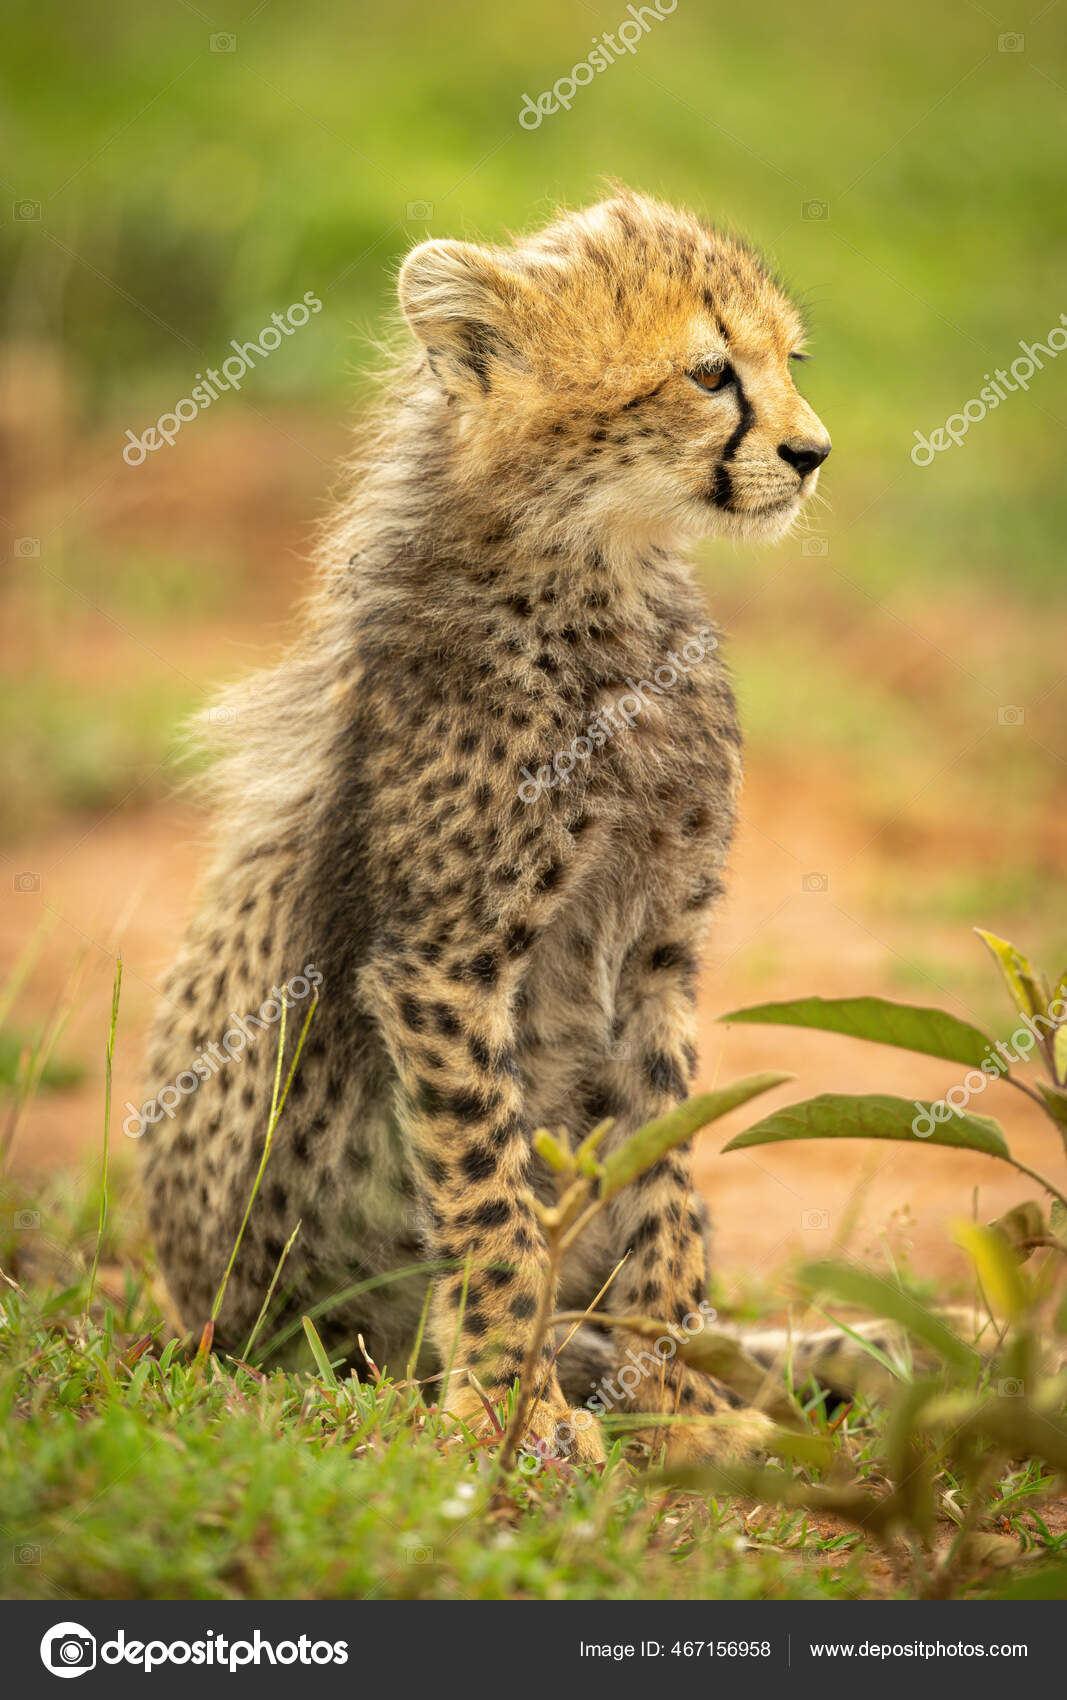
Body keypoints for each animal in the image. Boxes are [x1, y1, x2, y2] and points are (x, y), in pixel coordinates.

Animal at [139, 186, 831, 1466]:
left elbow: (664, 1184)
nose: (810, 453)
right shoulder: (440, 967)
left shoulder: (657, 953)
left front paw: (684, 1402)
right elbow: (489, 1192)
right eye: (710, 372)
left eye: (786, 363)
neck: (600, 570)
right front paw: (515, 1408)